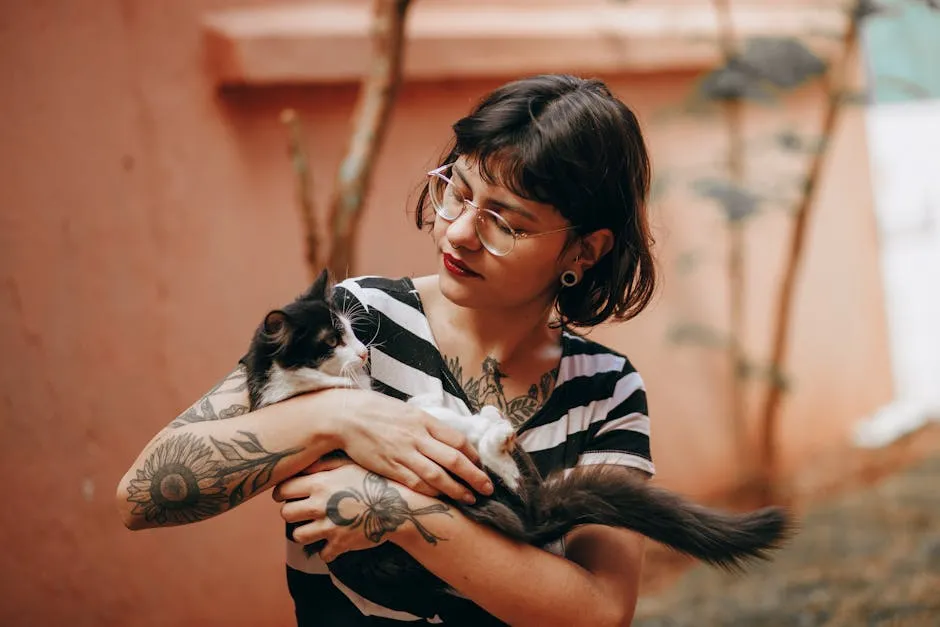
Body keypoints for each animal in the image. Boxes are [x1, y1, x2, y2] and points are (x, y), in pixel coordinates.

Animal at [242, 272, 792, 624]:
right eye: (331, 339)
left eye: (351, 329)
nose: (360, 352)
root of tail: (539, 517)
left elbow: (414, 407)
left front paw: (431, 404)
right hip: (477, 499)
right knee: (505, 485)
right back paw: (495, 434)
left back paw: (488, 422)